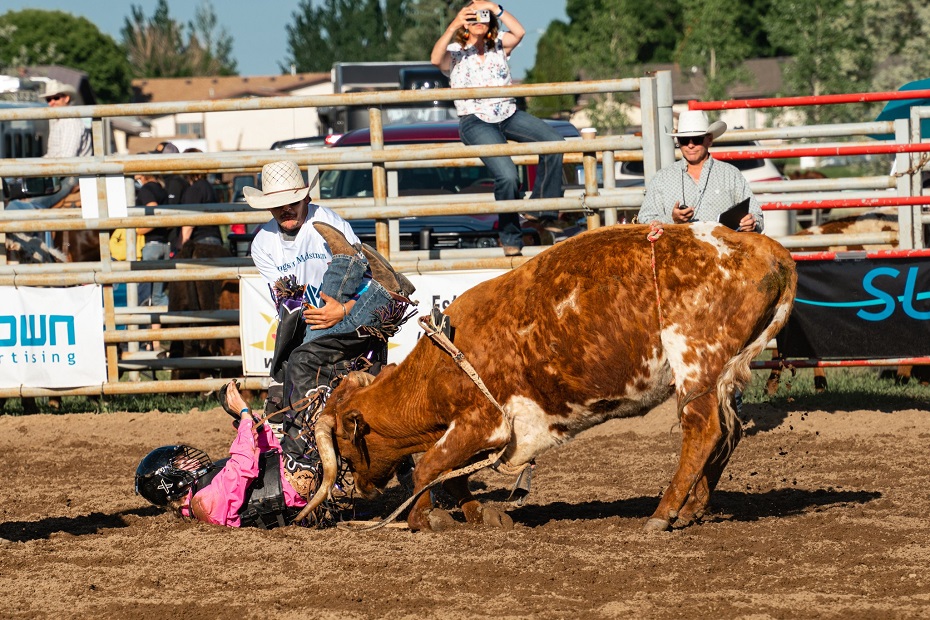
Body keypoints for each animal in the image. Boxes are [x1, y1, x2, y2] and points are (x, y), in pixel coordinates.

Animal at [301, 223, 797, 532]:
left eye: (345, 442)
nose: (362, 487)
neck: (440, 363)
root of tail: (766, 249)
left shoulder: (484, 422)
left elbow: (428, 468)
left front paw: (425, 518)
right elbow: (452, 476)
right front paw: (483, 514)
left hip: (695, 362)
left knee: (704, 430)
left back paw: (664, 511)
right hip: (723, 374)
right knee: (727, 434)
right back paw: (692, 508)